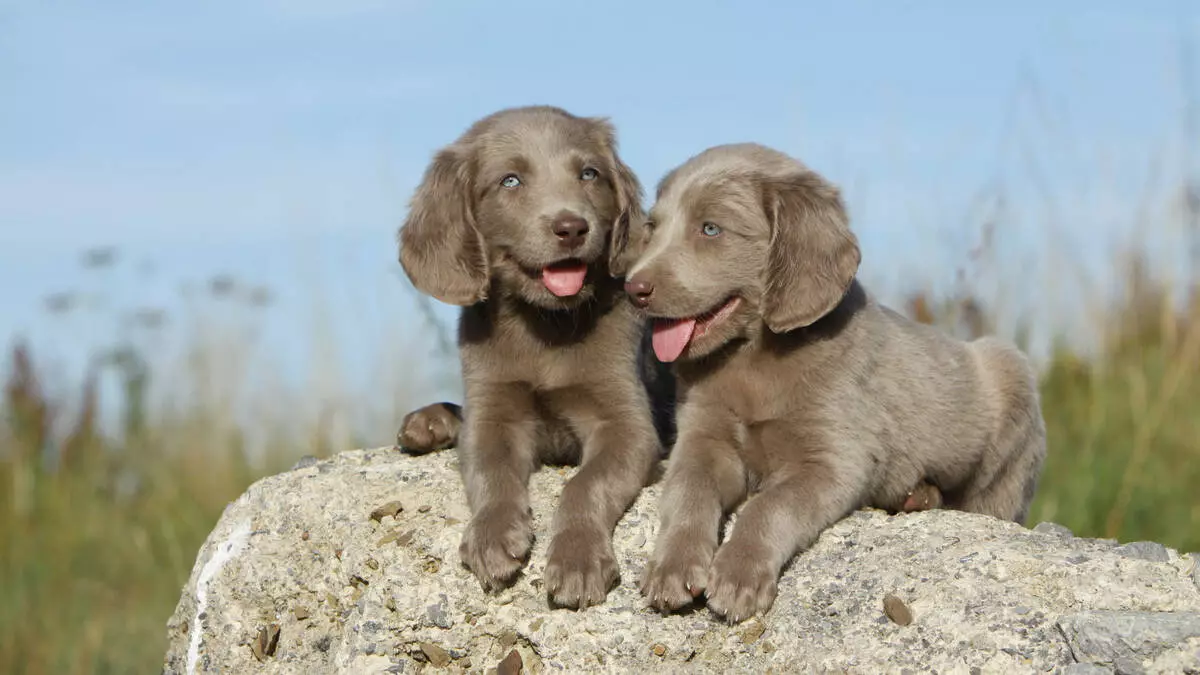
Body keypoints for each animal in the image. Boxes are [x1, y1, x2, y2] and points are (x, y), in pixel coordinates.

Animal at [624, 141, 1046, 619]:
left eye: (711, 229)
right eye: (652, 228)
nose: (633, 289)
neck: (753, 359)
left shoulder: (833, 460)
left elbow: (769, 506)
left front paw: (738, 575)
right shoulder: (702, 438)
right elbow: (687, 491)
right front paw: (672, 568)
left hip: (1009, 389)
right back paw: (917, 495)